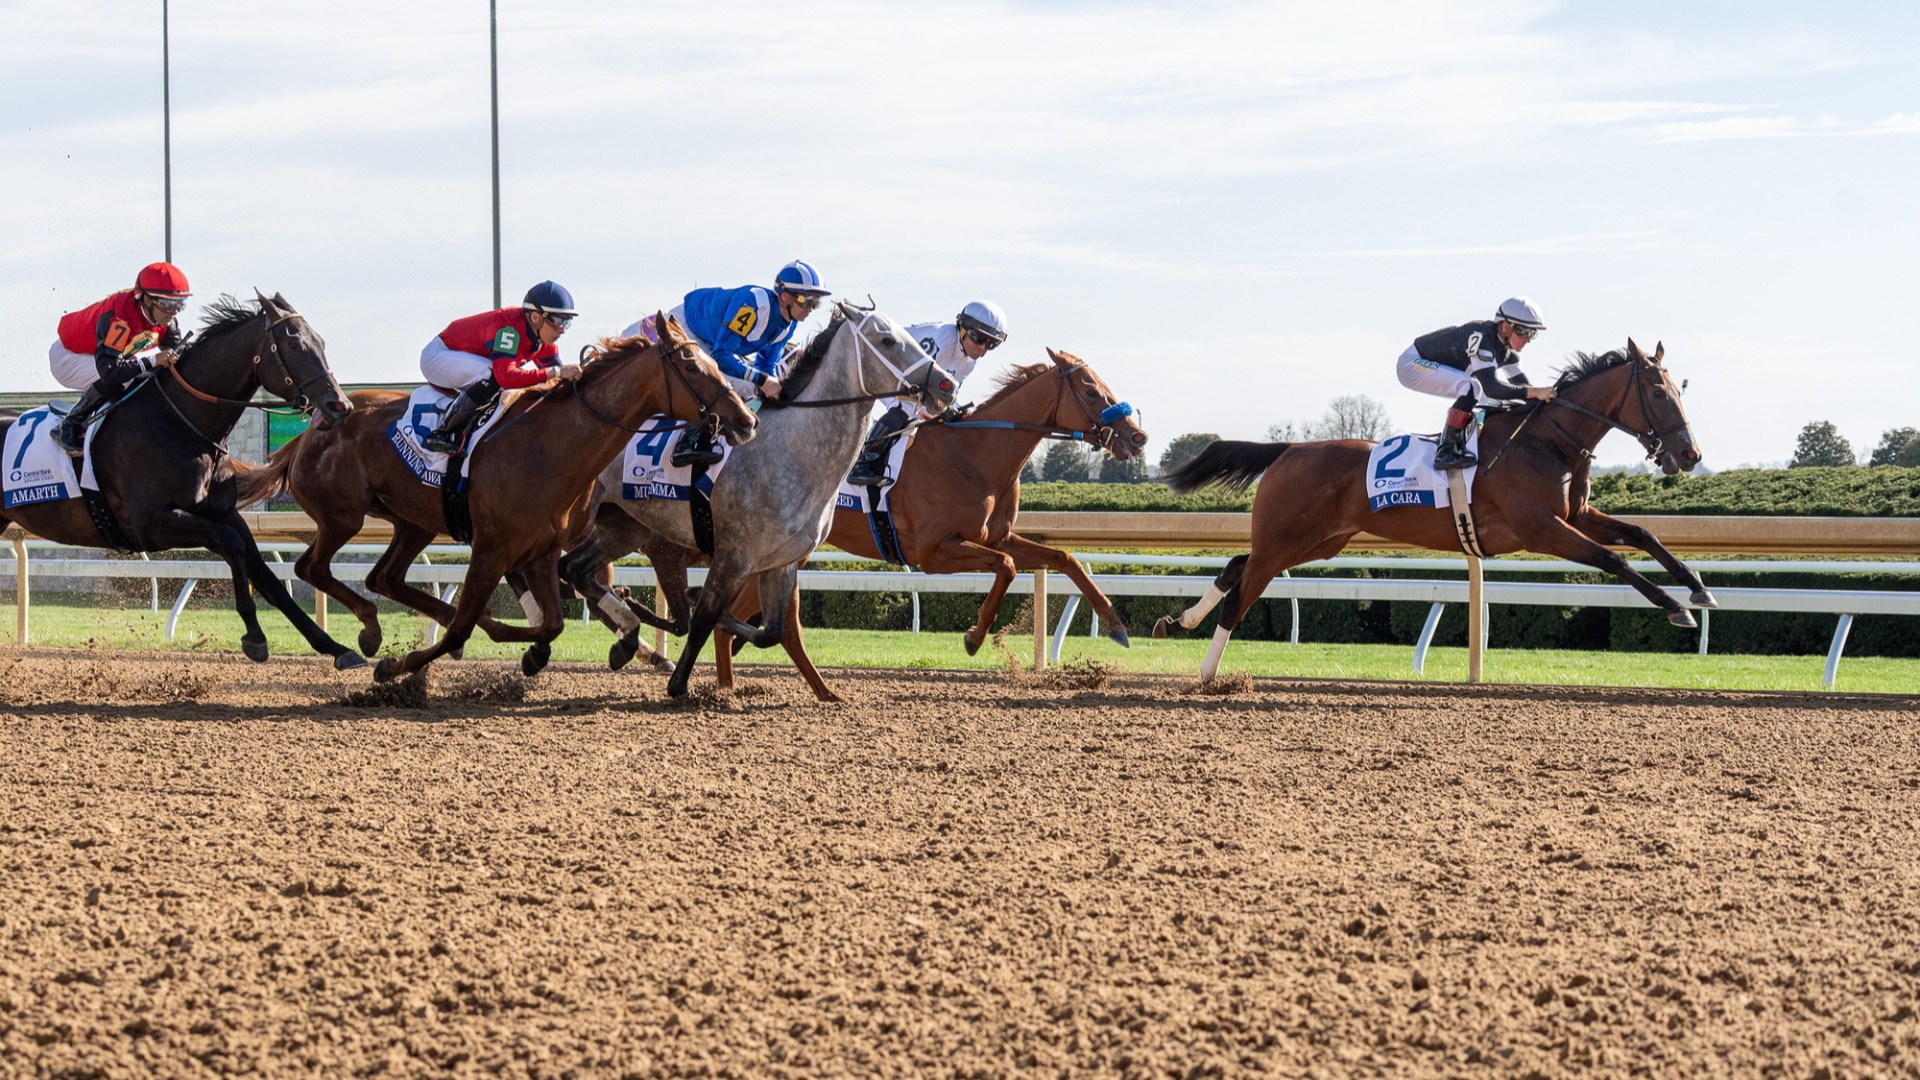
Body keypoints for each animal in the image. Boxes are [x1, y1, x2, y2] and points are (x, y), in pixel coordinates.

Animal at [0, 292, 363, 667]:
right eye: (294, 344)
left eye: (320, 342)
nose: (340, 406)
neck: (179, 423)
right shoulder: (151, 525)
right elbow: (232, 545)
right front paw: (254, 635)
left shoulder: (223, 513)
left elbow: (266, 575)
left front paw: (334, 646)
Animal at [234, 315, 757, 681]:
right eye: (690, 365)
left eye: (715, 364)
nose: (745, 419)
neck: (552, 447)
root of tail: (313, 427)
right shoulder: (490, 548)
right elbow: (472, 624)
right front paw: (397, 666)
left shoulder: (540, 550)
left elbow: (551, 623)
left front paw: (527, 649)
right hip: (344, 516)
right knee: (312, 568)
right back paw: (368, 632)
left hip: (414, 522)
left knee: (385, 577)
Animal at [555, 300, 958, 699]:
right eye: (887, 340)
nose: (947, 385)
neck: (794, 452)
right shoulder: (733, 554)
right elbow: (703, 618)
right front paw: (679, 683)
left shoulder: (781, 562)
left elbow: (771, 631)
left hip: (624, 527)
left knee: (575, 569)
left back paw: (626, 637)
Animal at [1157, 339, 1712, 680]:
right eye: (1659, 391)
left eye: (1679, 389)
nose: (1690, 455)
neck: (1547, 441)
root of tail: (1289, 450)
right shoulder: (1541, 528)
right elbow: (1613, 559)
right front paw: (1677, 608)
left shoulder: (1576, 517)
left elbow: (1643, 535)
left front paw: (1698, 589)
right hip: (1287, 539)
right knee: (1243, 591)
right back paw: (1208, 671)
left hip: (1317, 540)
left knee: (1236, 565)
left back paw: (1178, 622)